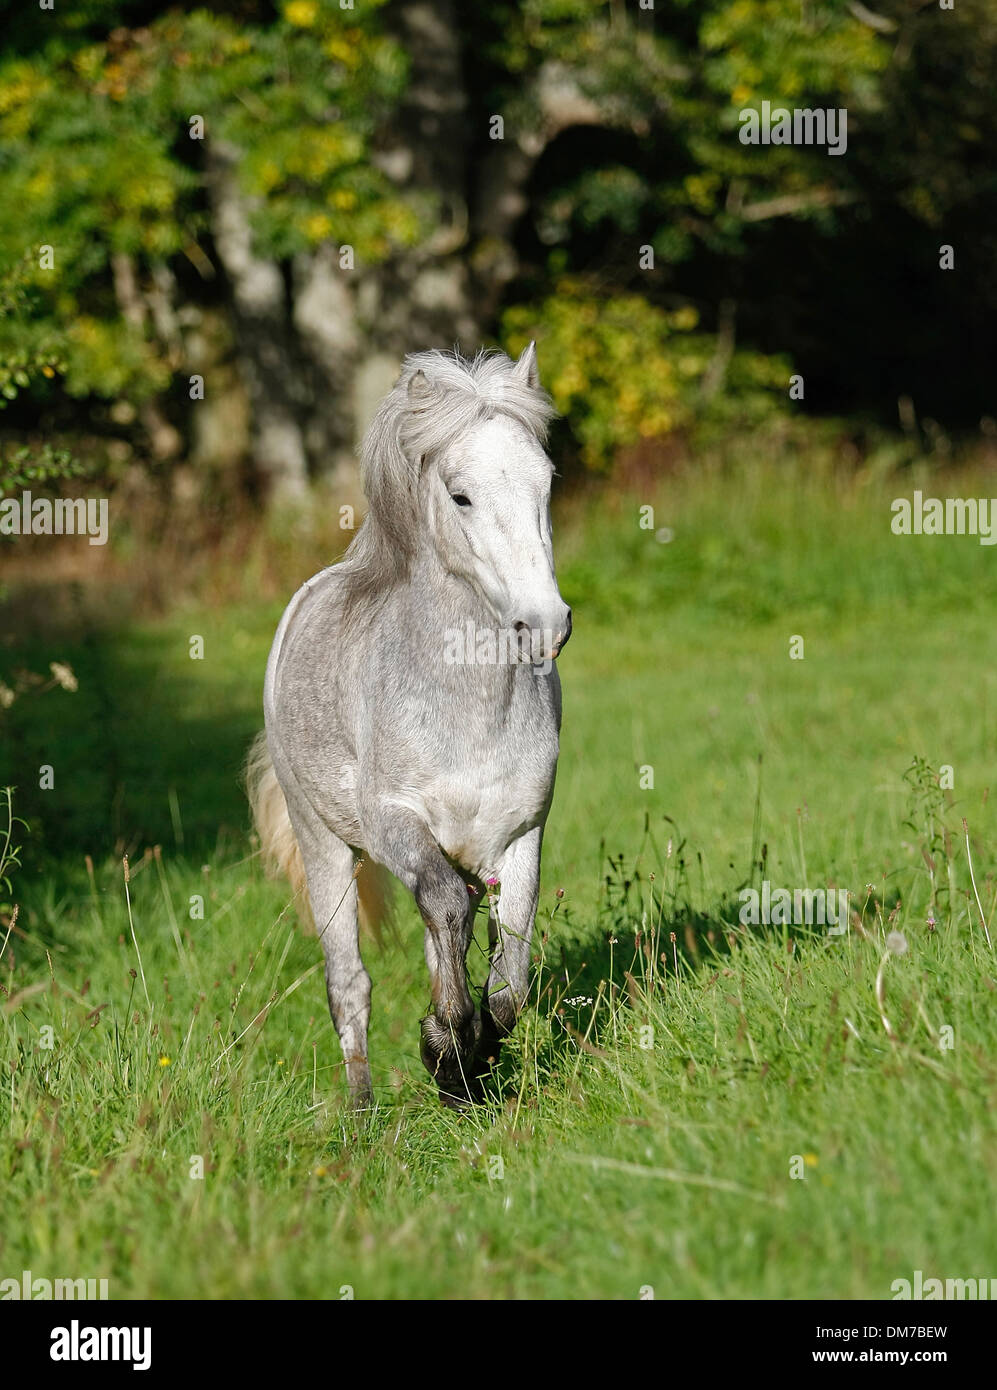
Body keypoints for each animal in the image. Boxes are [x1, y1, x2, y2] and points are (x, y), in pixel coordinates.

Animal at [246, 343, 572, 1109]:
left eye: (546, 482)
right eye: (460, 495)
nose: (545, 626)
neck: (467, 713)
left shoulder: (522, 833)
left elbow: (508, 981)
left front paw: (471, 1062)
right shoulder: (395, 824)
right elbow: (449, 916)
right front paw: (445, 1052)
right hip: (324, 845)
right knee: (349, 986)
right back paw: (363, 1113)